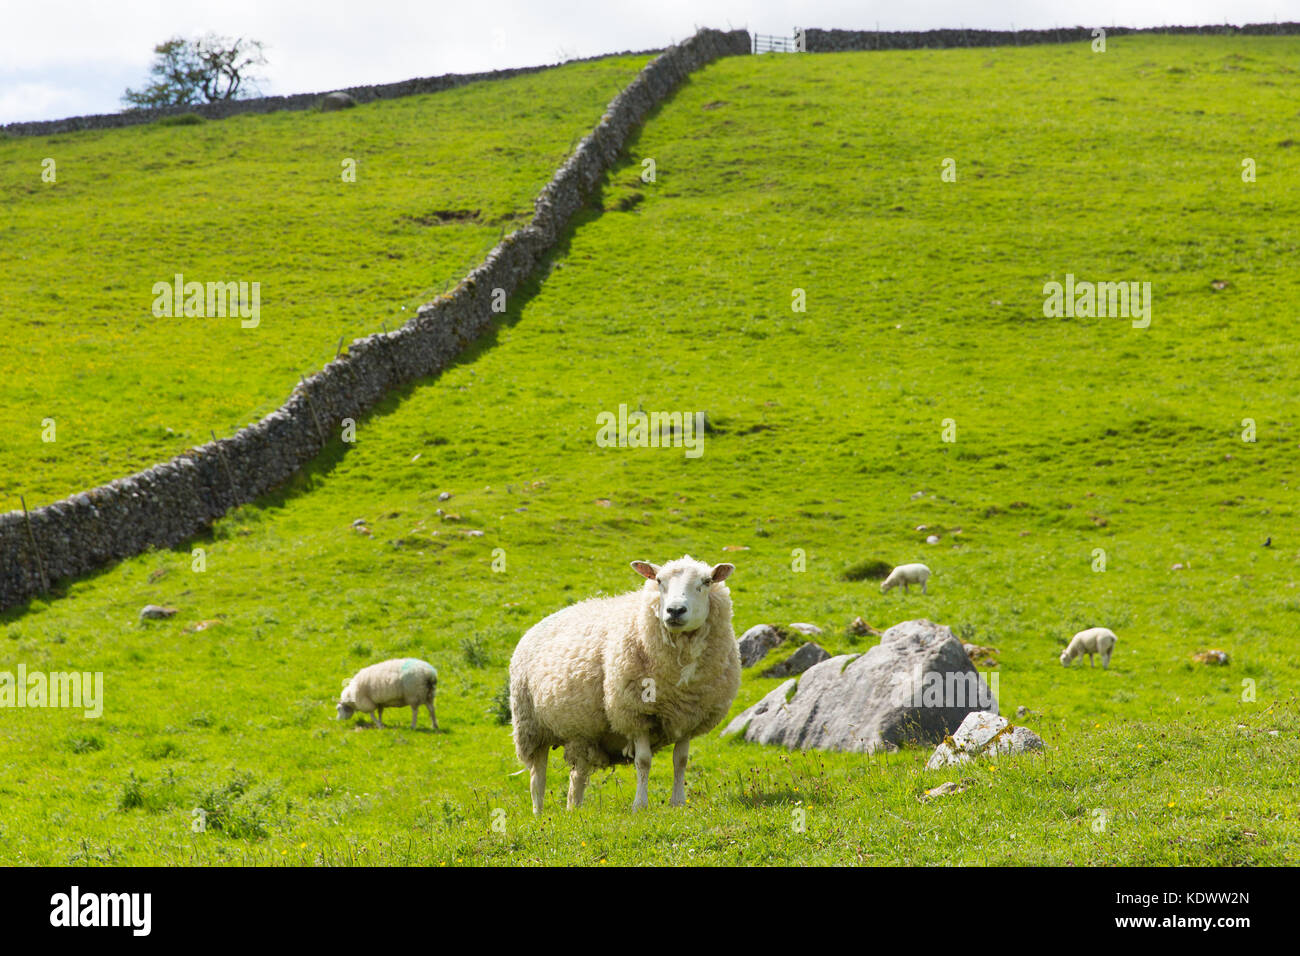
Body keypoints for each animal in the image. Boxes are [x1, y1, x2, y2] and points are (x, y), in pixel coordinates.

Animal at [509, 555, 741, 814]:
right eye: (659, 581)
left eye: (707, 581)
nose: (675, 610)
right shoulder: (635, 712)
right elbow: (643, 761)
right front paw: (640, 805)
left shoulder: (689, 717)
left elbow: (680, 761)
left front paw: (678, 802)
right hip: (530, 725)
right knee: (537, 776)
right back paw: (538, 813)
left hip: (582, 732)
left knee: (577, 776)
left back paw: (574, 811)